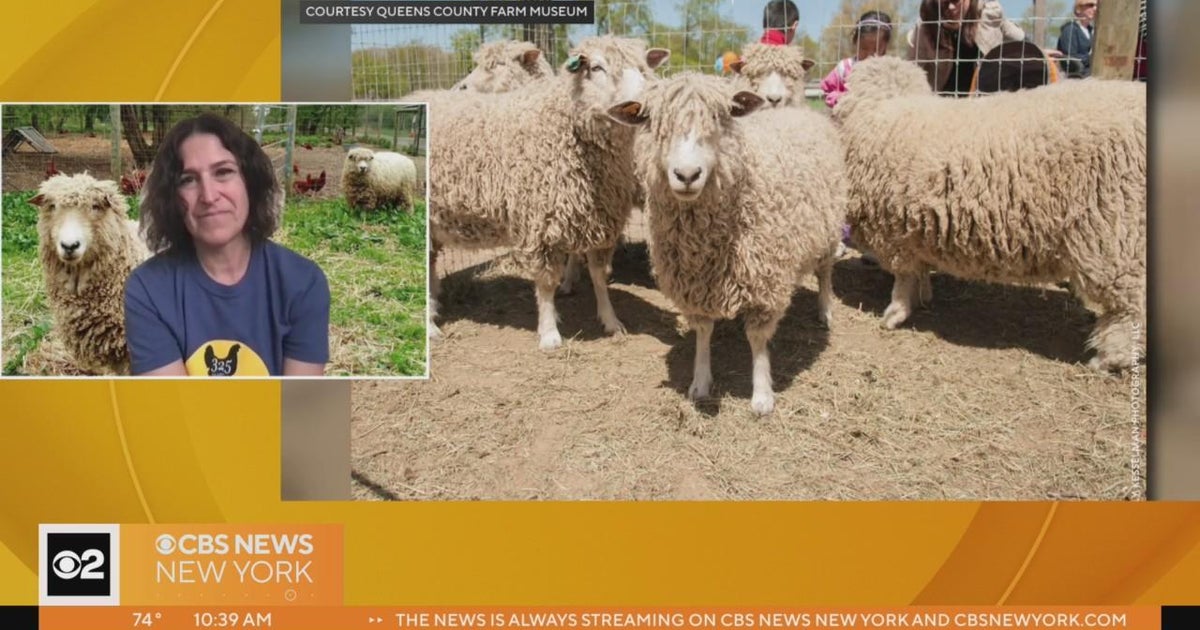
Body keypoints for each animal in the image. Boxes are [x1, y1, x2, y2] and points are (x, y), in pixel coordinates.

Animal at [429, 35, 670, 347]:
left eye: (644, 68)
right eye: (596, 67)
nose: (462, 88)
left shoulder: (598, 217)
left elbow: (598, 276)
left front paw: (610, 320)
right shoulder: (542, 222)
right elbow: (546, 283)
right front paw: (549, 332)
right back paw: (431, 323)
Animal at [607, 73, 846, 414]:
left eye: (720, 118)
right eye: (653, 123)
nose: (687, 174)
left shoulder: (766, 281)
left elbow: (757, 340)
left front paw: (762, 395)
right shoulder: (695, 283)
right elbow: (703, 332)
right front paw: (700, 382)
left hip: (829, 229)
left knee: (825, 272)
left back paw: (825, 311)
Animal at [834, 55, 1146, 372]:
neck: (883, 107)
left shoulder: (894, 231)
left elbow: (903, 277)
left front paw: (895, 313)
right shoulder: (914, 228)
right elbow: (919, 271)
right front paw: (924, 296)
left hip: (1115, 233)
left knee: (1130, 307)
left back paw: (1108, 359)